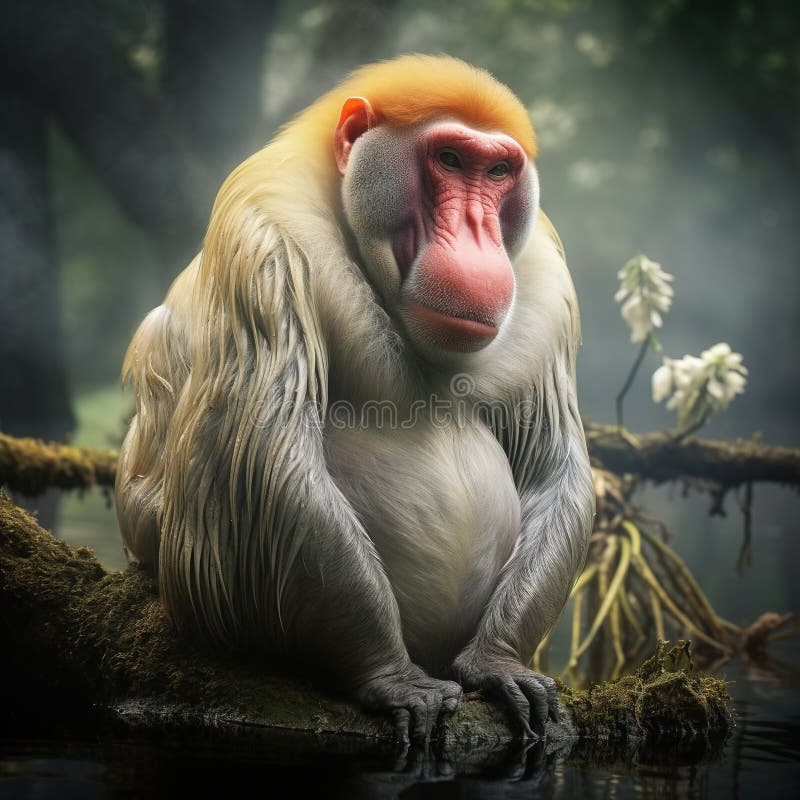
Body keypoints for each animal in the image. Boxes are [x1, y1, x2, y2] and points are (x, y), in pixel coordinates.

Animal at [115, 55, 595, 744]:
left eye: (498, 171)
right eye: (450, 158)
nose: (477, 236)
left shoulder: (547, 276)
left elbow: (551, 470)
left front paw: (499, 660)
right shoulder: (264, 232)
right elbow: (264, 468)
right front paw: (387, 672)